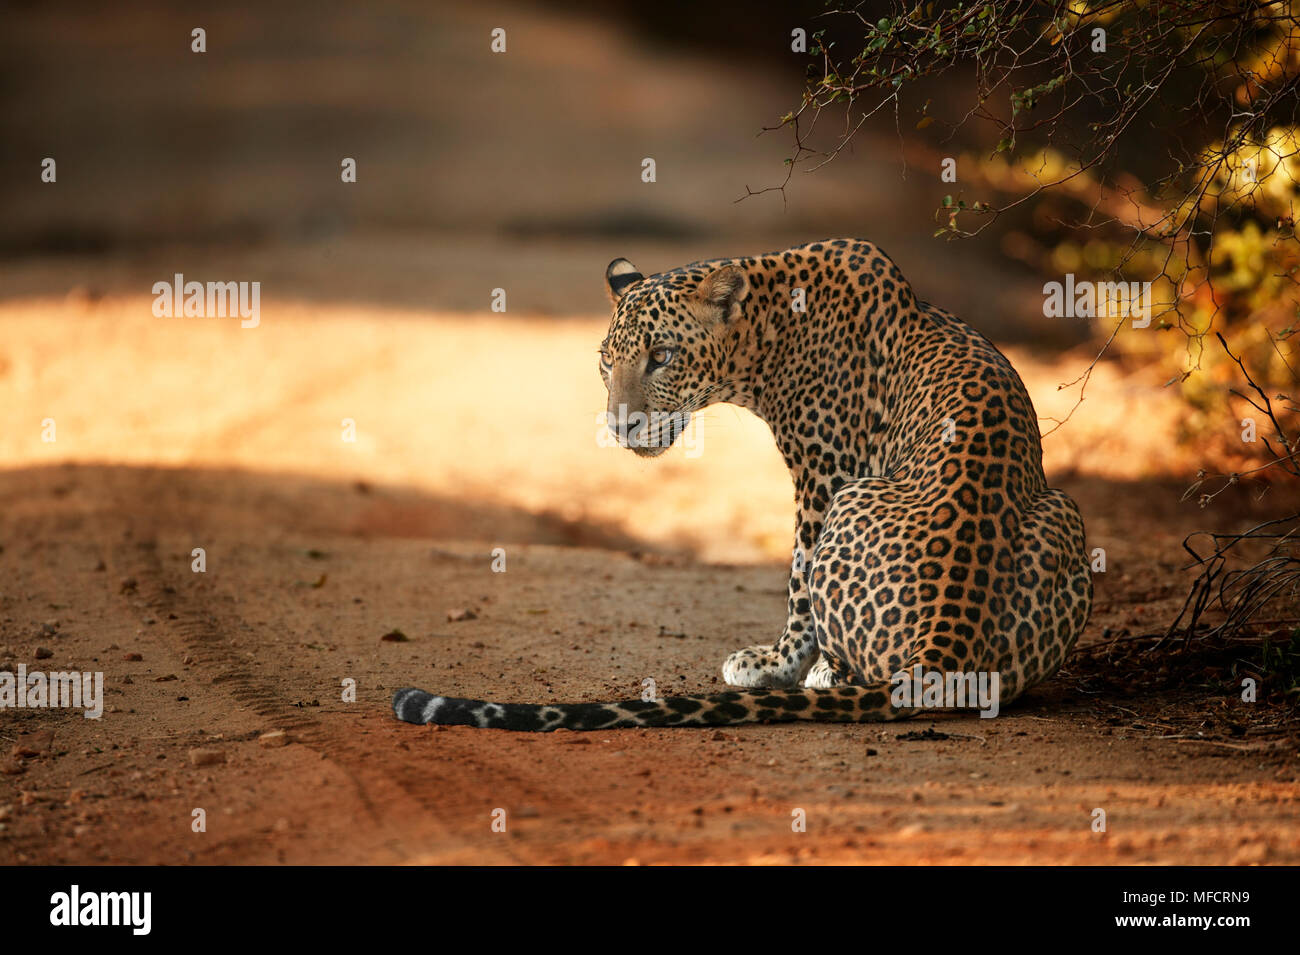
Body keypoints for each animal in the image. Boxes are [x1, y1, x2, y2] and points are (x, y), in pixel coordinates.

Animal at [393, 239, 1092, 730]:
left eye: (662, 357)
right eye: (605, 363)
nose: (621, 425)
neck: (768, 333)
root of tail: (945, 650)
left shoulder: (825, 472)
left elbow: (799, 581)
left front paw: (777, 663)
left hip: (858, 496)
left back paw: (829, 674)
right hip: (1063, 510)